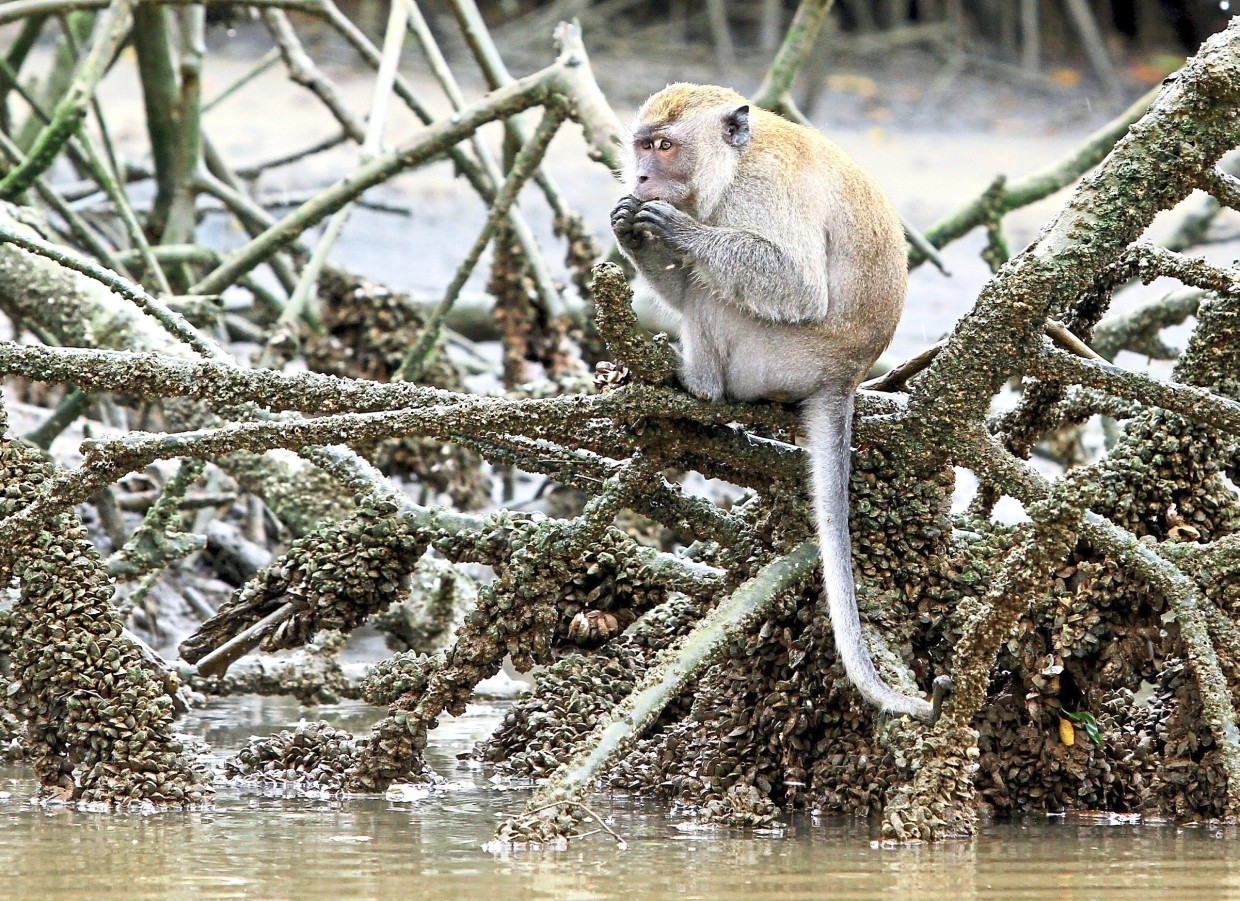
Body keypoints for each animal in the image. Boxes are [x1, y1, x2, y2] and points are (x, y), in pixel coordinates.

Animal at [611, 83, 951, 725]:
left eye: (665, 147)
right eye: (642, 146)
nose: (641, 177)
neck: (732, 165)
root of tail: (846, 376)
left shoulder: (762, 193)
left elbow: (795, 284)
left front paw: (678, 232)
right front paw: (628, 228)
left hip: (779, 358)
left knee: (719, 299)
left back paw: (698, 383)